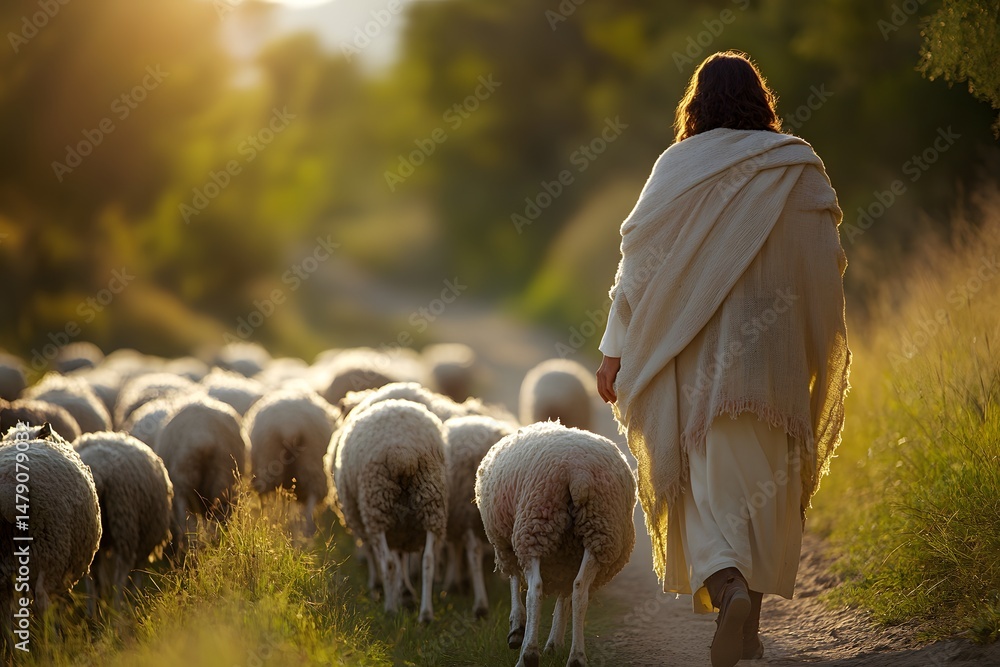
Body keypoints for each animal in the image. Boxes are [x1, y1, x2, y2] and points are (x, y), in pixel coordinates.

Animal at [73, 432, 173, 609]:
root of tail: (99, 473)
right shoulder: (145, 541)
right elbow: (138, 571)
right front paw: (136, 596)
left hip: (89, 534)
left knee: (91, 576)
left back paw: (94, 610)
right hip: (124, 521)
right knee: (122, 571)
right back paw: (118, 607)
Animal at [242, 388, 339, 535]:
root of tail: (289, 425)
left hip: (268, 460)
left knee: (265, 498)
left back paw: (267, 524)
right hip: (311, 464)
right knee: (309, 502)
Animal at [332, 399, 447, 623]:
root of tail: (402, 453)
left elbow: (383, 557)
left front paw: (392, 592)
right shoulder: (402, 528)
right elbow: (402, 558)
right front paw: (406, 593)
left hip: (376, 507)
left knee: (387, 562)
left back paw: (390, 609)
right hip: (431, 502)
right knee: (428, 560)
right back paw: (425, 614)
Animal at [475, 422, 636, 667]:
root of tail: (579, 472)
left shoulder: (504, 542)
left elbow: (514, 579)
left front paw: (517, 629)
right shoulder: (567, 557)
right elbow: (564, 596)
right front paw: (554, 644)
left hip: (534, 523)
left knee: (535, 589)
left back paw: (528, 654)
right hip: (600, 532)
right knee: (579, 589)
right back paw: (576, 656)